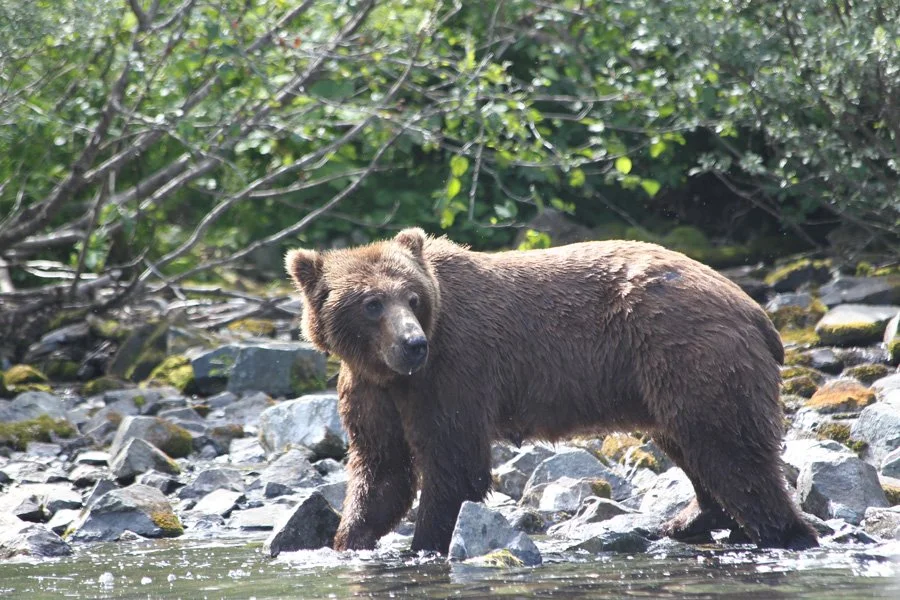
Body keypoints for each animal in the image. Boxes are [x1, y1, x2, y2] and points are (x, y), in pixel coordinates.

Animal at [285, 227, 818, 554]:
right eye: (372, 303)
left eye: (412, 298)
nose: (413, 344)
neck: (394, 374)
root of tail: (753, 308)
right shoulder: (371, 390)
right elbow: (383, 470)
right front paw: (349, 541)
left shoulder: (455, 371)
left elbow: (454, 466)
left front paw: (426, 543)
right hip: (664, 377)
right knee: (691, 443)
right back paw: (690, 519)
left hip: (690, 352)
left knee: (731, 449)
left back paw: (787, 533)